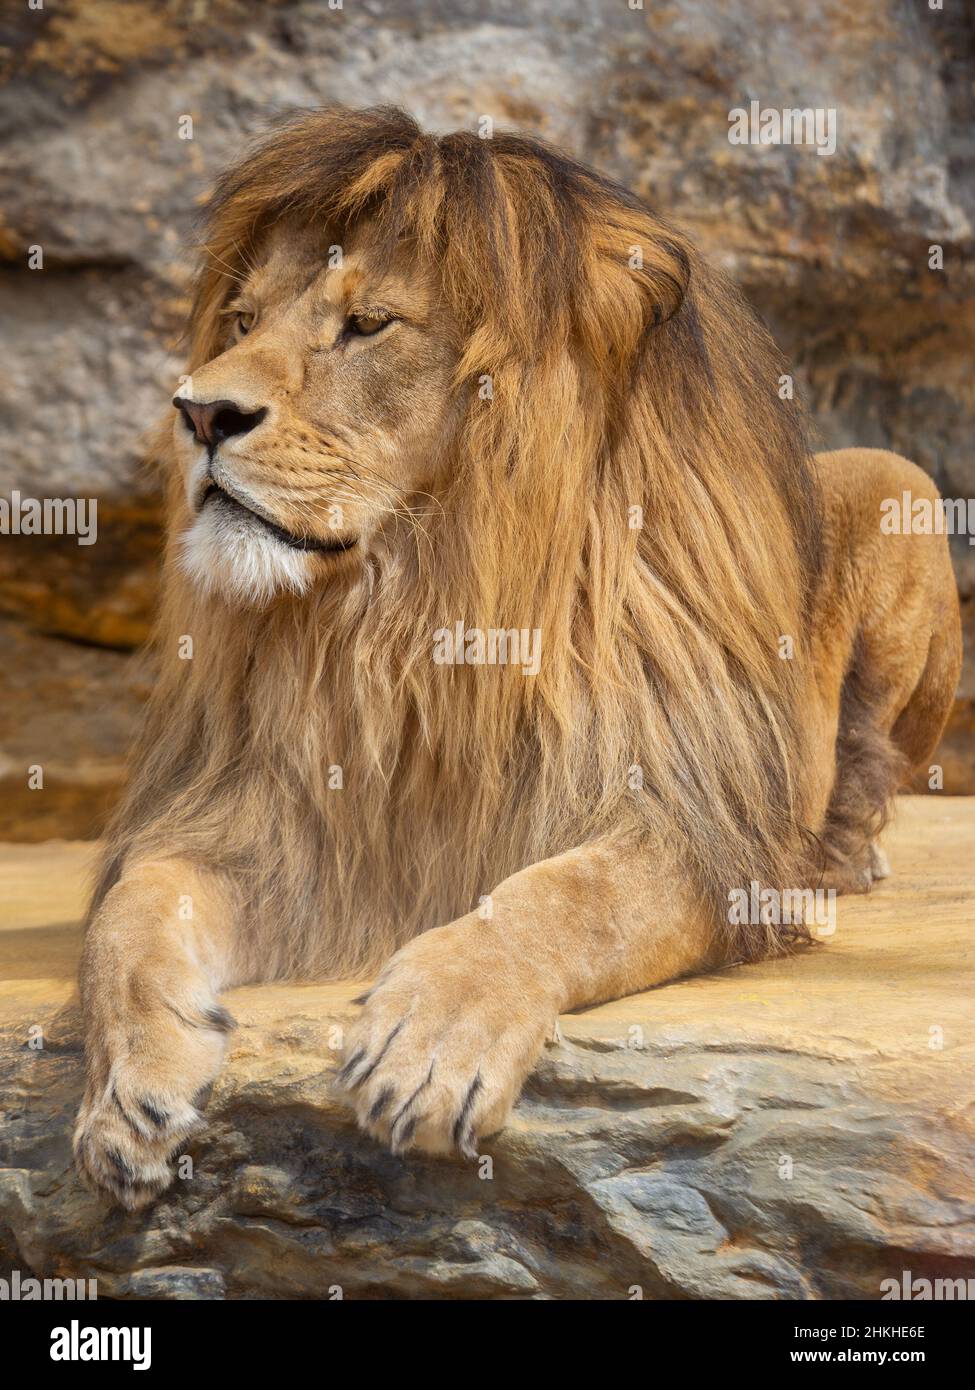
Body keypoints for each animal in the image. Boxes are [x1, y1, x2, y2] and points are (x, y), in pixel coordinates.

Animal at [73, 107, 961, 1207]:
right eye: (239, 323)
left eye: (367, 325)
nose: (196, 412)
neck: (408, 618)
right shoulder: (270, 821)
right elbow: (129, 914)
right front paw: (125, 1088)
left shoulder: (692, 825)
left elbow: (557, 900)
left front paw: (429, 1041)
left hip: (900, 483)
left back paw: (845, 852)